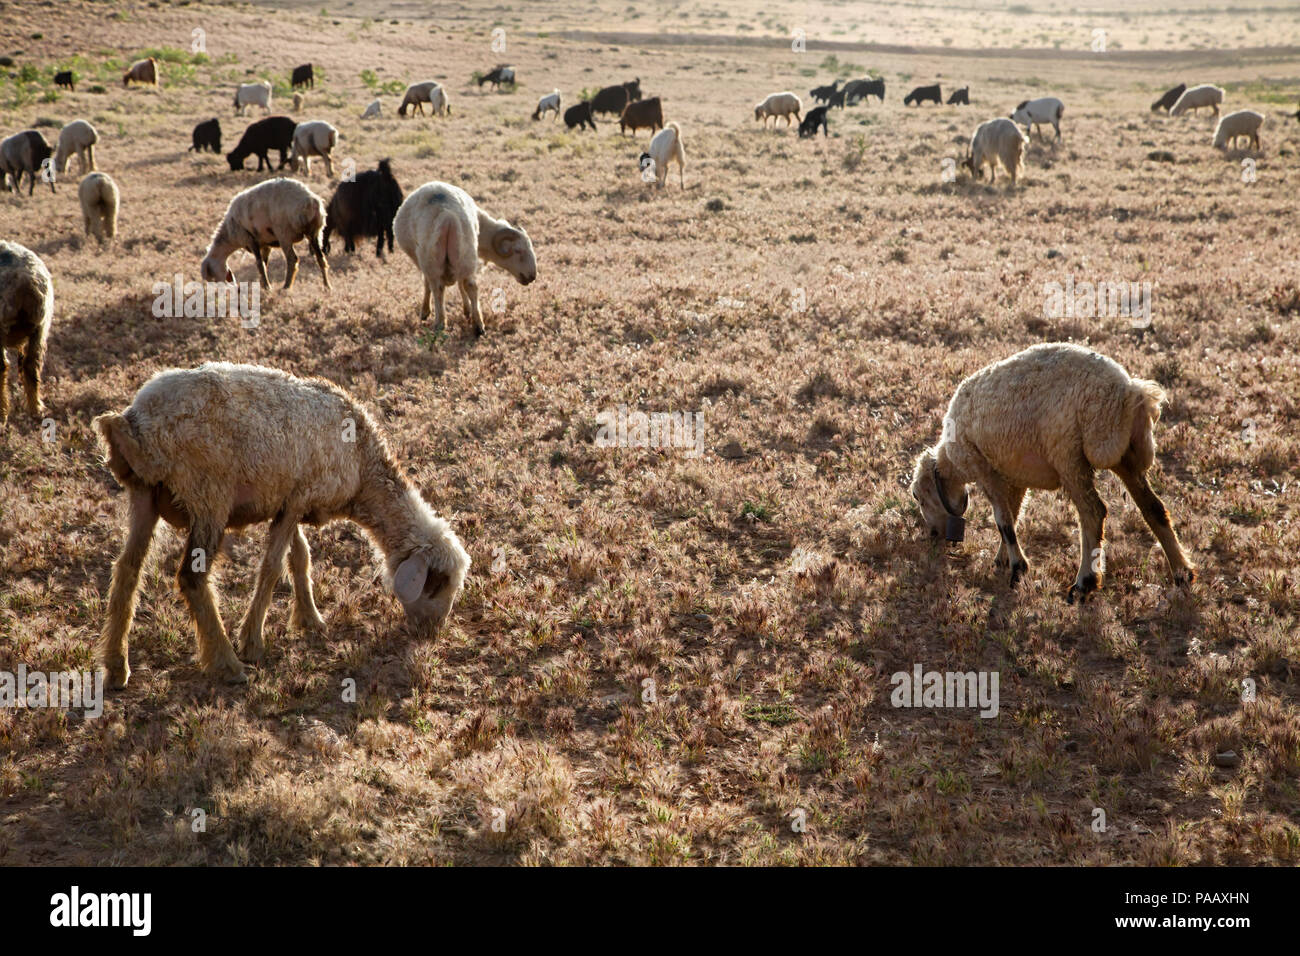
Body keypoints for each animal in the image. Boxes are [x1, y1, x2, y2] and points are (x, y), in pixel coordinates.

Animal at [93, 362, 471, 687]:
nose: (433, 632)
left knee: (127, 569)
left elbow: (299, 558)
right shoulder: (299, 498)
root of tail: (138, 423)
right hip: (208, 494)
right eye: (439, 583)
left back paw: (116, 666)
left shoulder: (291, 501)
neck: (363, 467)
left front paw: (310, 619)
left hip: (144, 496)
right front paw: (252, 642)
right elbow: (272, 567)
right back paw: (227, 664)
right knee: (191, 578)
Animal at [201, 177, 331, 292]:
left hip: (284, 233)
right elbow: (264, 264)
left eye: (213, 278)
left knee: (292, 260)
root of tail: (311, 202)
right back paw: (327, 286)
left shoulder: (250, 240)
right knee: (320, 257)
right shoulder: (265, 244)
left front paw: (267, 288)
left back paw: (286, 287)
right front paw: (262, 285)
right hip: (315, 232)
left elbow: (259, 264)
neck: (229, 235)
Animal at [393, 181, 536, 336]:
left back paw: (440, 323)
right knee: (470, 285)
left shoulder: (420, 260)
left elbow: (428, 284)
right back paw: (478, 325)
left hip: (430, 257)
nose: (532, 276)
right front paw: (467, 311)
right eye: (518, 250)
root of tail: (447, 215)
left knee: (438, 288)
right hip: (465, 251)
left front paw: (425, 312)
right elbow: (460, 284)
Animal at [910, 343, 1195, 602]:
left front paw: (1018, 569)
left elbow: (1004, 521)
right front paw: (1003, 559)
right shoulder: (1014, 475)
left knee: (1093, 513)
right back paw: (1182, 573)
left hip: (1069, 454)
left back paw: (1084, 583)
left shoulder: (984, 468)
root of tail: (1131, 392)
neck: (952, 461)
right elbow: (1012, 515)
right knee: (1153, 508)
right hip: (1122, 452)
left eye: (918, 497)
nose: (933, 535)